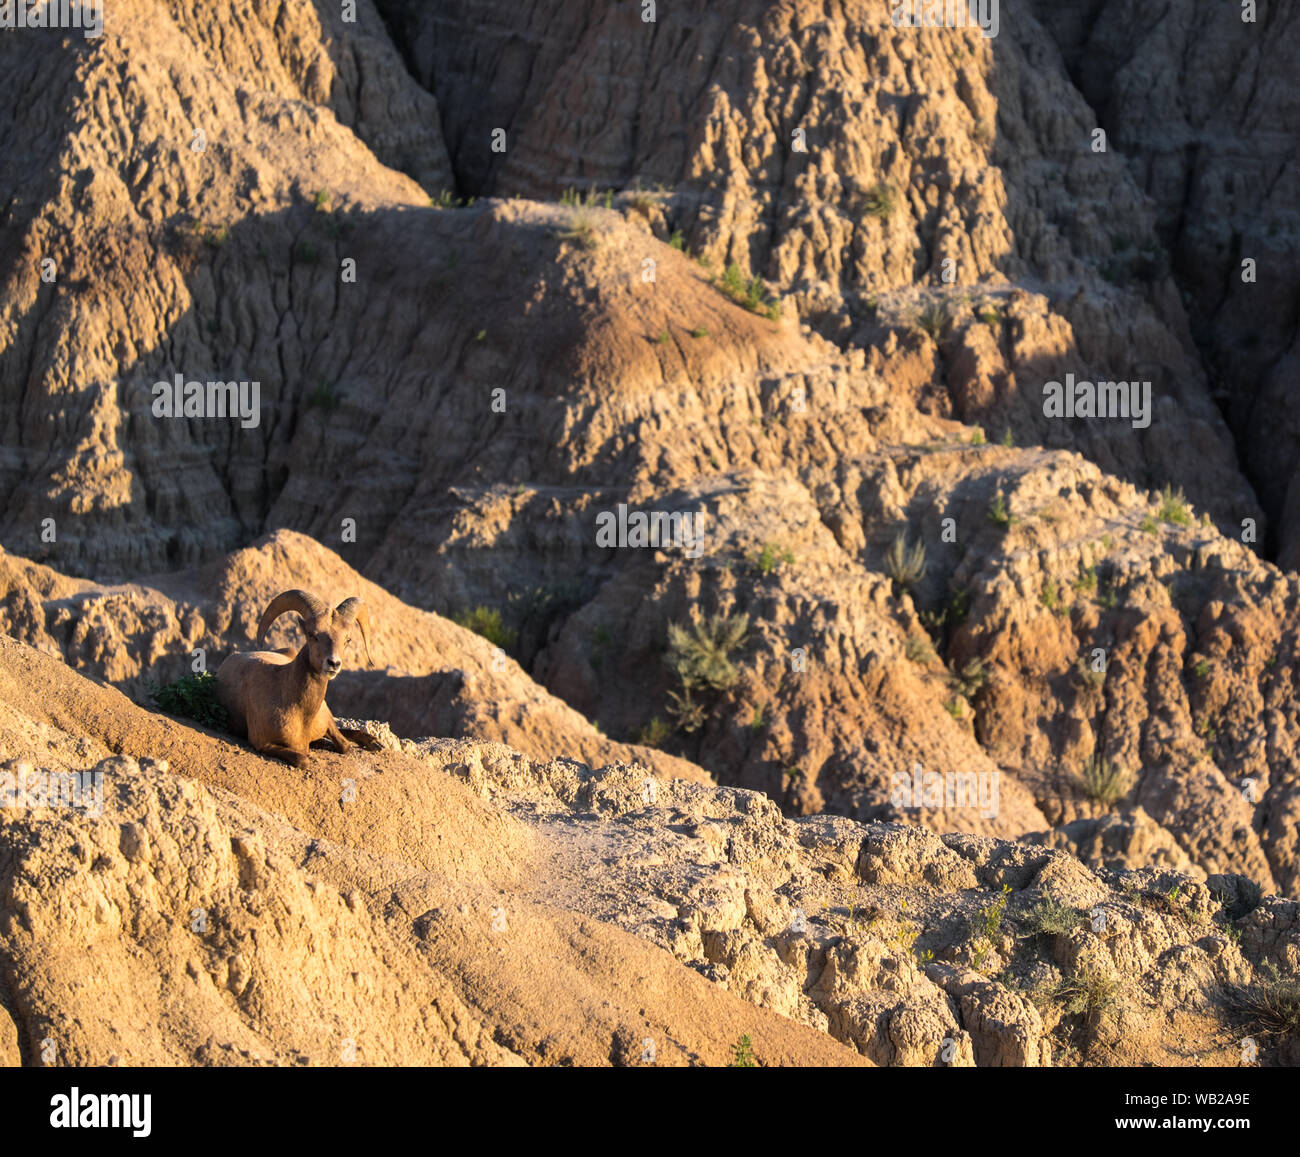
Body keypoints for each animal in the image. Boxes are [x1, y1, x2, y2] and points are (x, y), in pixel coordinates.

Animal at [216, 589, 383, 767]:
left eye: (348, 639)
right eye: (312, 635)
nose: (333, 663)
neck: (299, 713)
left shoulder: (327, 724)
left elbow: (345, 746)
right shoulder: (262, 743)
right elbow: (303, 760)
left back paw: (375, 743)